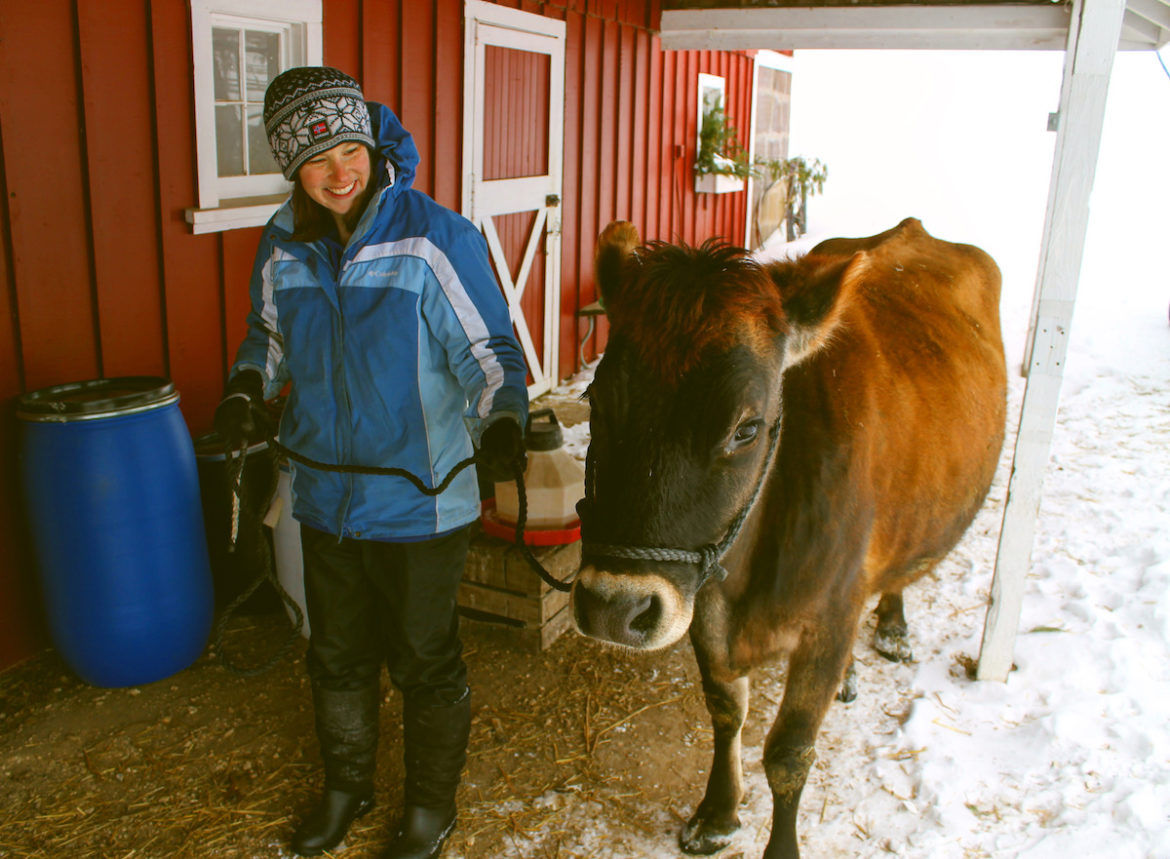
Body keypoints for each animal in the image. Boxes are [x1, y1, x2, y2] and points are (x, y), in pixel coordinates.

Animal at [571, 218, 1006, 858]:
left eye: (747, 428)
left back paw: (893, 629)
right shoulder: (703, 607)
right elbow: (726, 713)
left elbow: (787, 755)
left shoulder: (827, 622)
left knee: (898, 576)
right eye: (596, 401)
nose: (613, 607)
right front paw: (717, 813)